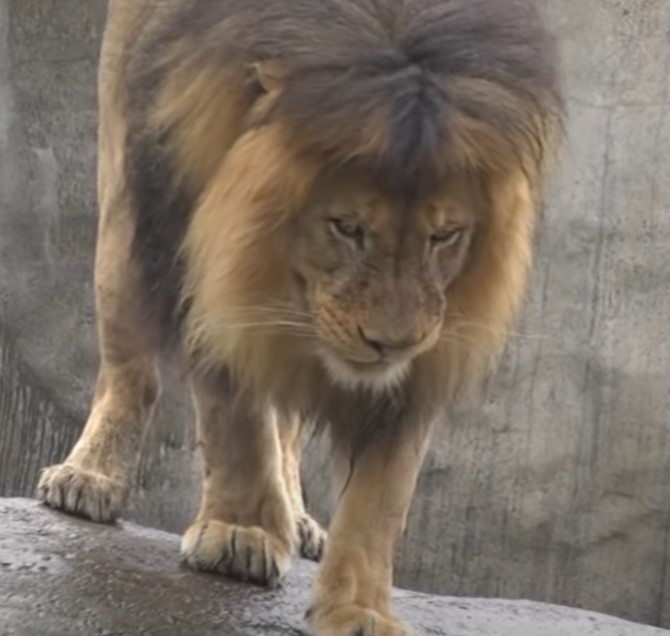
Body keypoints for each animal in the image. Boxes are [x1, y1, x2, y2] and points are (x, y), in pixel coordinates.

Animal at [36, 0, 564, 634]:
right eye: (347, 227)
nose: (391, 343)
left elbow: (381, 495)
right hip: (126, 209)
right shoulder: (212, 269)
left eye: (445, 235)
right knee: (130, 369)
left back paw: (299, 518)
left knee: (286, 422)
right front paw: (240, 533)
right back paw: (89, 478)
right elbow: (236, 418)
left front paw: (360, 608)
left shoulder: (419, 364)